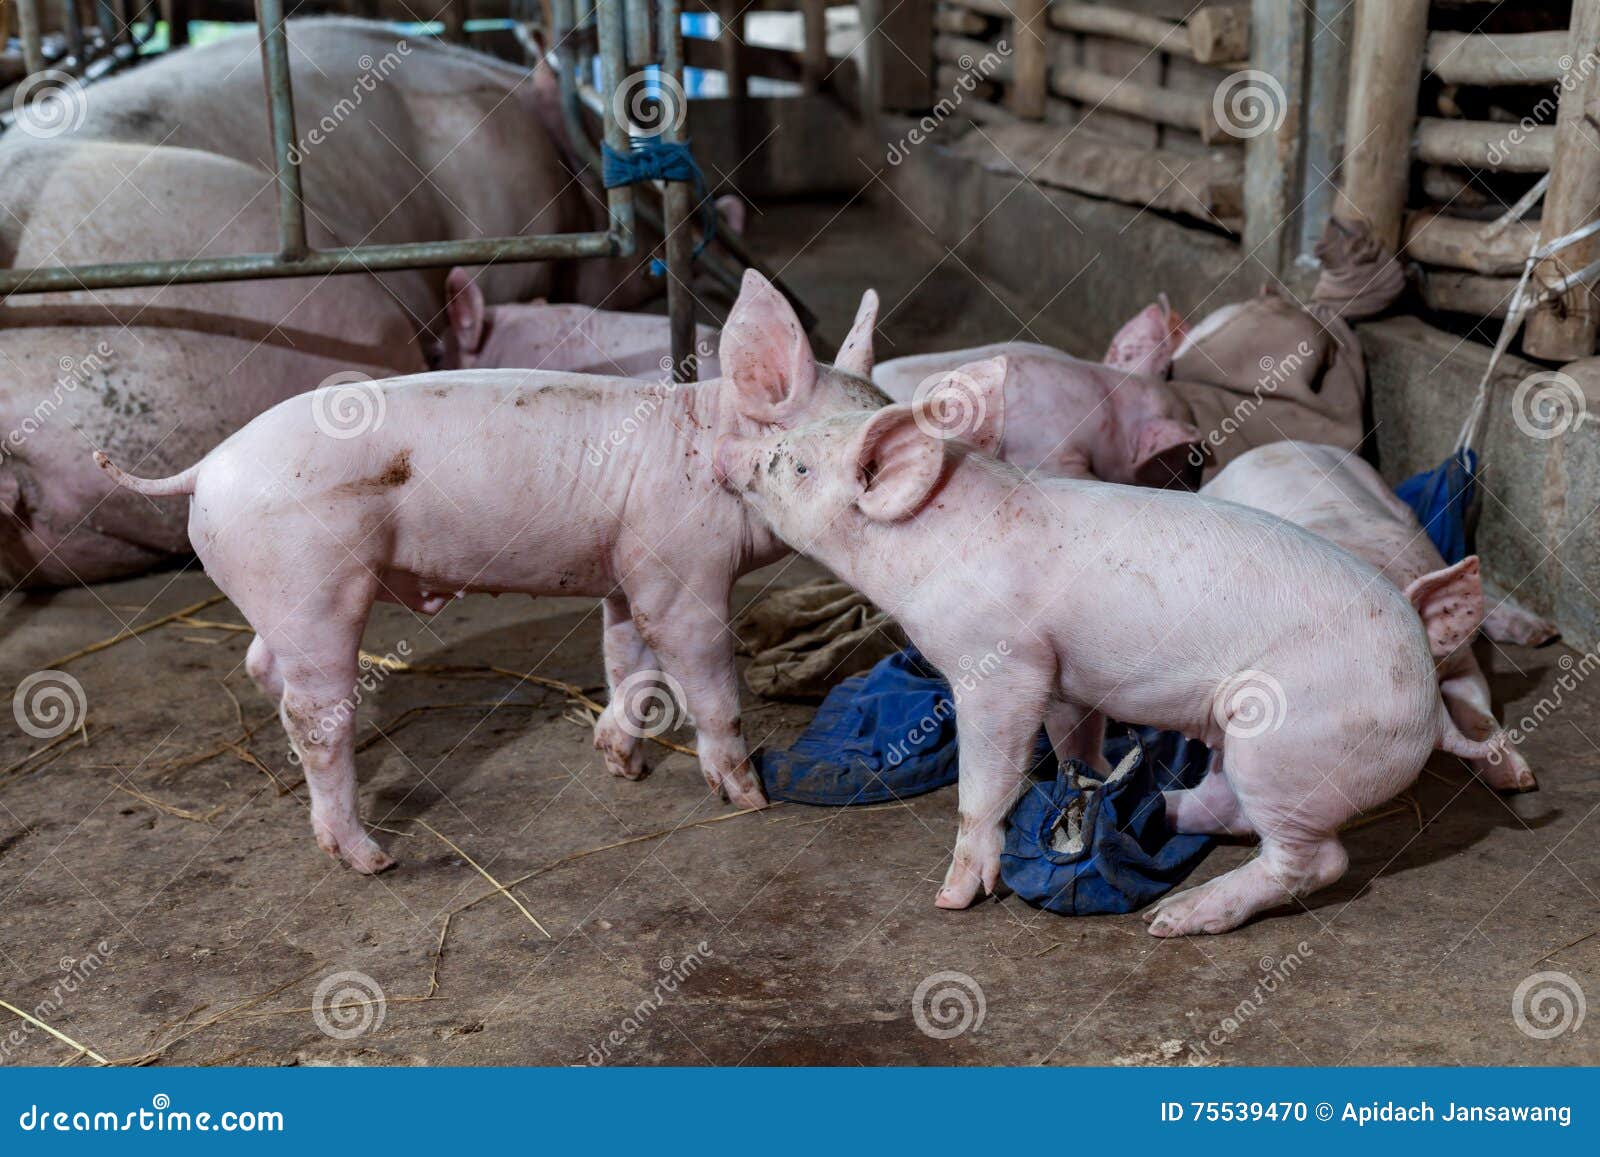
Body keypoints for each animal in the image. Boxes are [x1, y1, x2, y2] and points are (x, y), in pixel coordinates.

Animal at [93, 273, 888, 874]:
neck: (711, 445)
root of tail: (204, 467)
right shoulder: (682, 568)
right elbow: (707, 681)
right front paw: (750, 798)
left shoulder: (627, 569)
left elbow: (628, 660)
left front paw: (621, 765)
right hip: (313, 582)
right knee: (310, 712)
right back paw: (371, 858)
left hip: (280, 592)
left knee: (264, 664)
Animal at [711, 373, 1500, 935]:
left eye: (797, 465)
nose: (726, 452)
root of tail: (1428, 699)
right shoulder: (1065, 675)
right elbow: (1074, 740)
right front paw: (1079, 790)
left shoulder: (1000, 662)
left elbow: (984, 779)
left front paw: (953, 897)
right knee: (1227, 809)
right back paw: (1138, 816)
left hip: (1290, 740)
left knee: (1314, 857)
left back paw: (1173, 918)